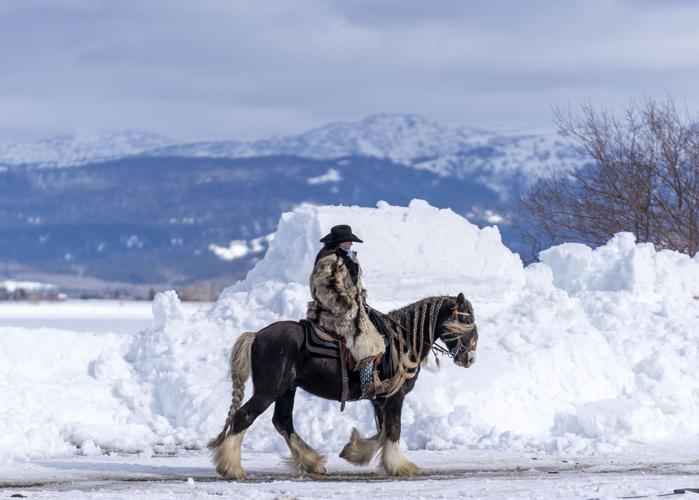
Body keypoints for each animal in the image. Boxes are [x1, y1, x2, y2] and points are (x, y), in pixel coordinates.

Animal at [207, 293, 479, 479]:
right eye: (467, 321)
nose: (469, 359)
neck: (403, 339)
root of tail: (256, 336)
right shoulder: (395, 396)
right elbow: (393, 430)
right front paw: (401, 466)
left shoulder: (380, 399)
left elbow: (382, 431)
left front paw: (355, 452)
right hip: (269, 389)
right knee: (244, 416)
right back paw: (231, 467)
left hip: (286, 390)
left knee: (282, 422)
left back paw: (312, 462)